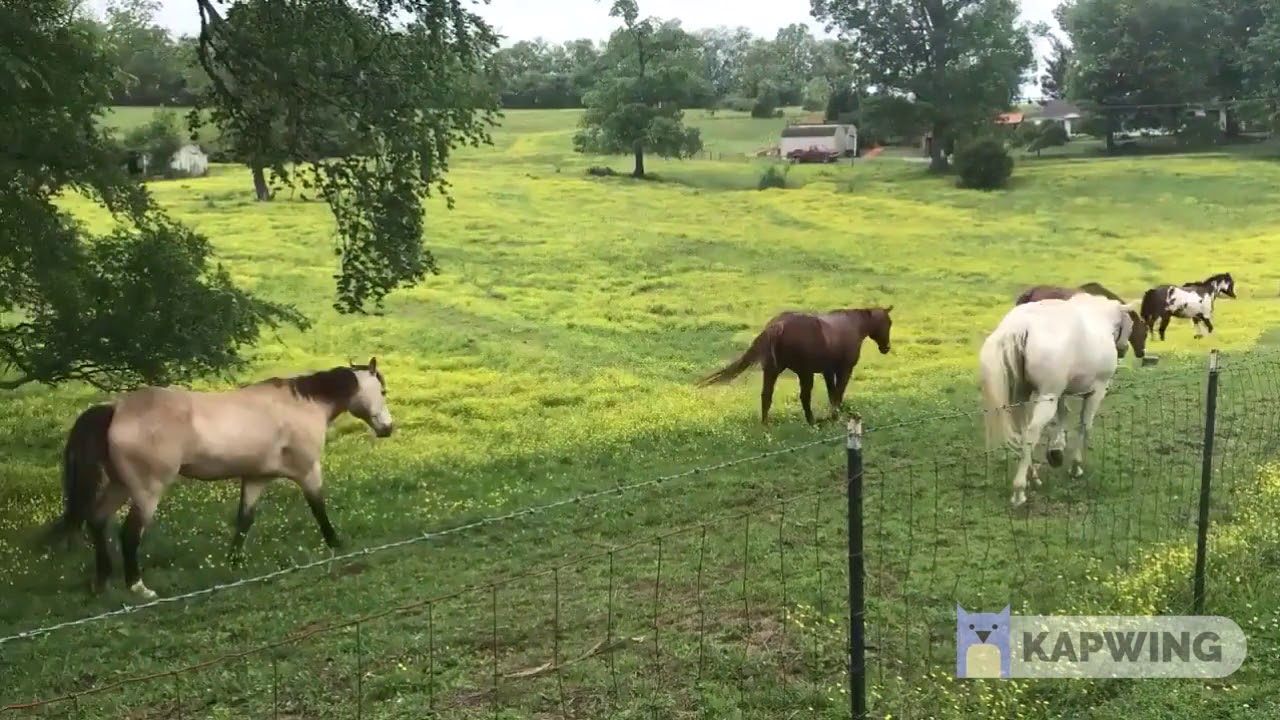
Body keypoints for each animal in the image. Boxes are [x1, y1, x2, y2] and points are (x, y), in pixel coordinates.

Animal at [42, 359, 395, 599]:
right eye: (383, 390)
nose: (388, 428)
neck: (304, 403)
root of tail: (114, 408)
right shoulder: (308, 471)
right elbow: (319, 508)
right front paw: (336, 543)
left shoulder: (255, 479)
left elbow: (244, 521)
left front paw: (234, 563)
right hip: (146, 491)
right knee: (129, 535)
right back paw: (139, 588)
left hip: (119, 487)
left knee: (97, 521)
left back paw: (102, 582)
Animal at [697, 307, 894, 425]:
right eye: (888, 323)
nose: (886, 348)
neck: (854, 326)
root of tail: (778, 325)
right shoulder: (843, 369)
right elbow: (838, 393)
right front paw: (835, 416)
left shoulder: (827, 371)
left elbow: (832, 394)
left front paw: (834, 415)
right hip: (804, 373)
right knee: (804, 397)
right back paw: (812, 421)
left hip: (772, 370)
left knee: (766, 395)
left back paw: (766, 424)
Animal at [979, 294, 1133, 508]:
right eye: (1129, 324)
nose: (1124, 349)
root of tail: (1021, 326)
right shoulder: (1097, 391)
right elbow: (1084, 425)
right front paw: (1075, 466)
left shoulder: (1061, 392)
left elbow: (1063, 414)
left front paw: (1056, 451)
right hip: (1046, 396)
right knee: (1032, 432)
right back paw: (1019, 491)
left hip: (1022, 396)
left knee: (1023, 431)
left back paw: (1033, 477)